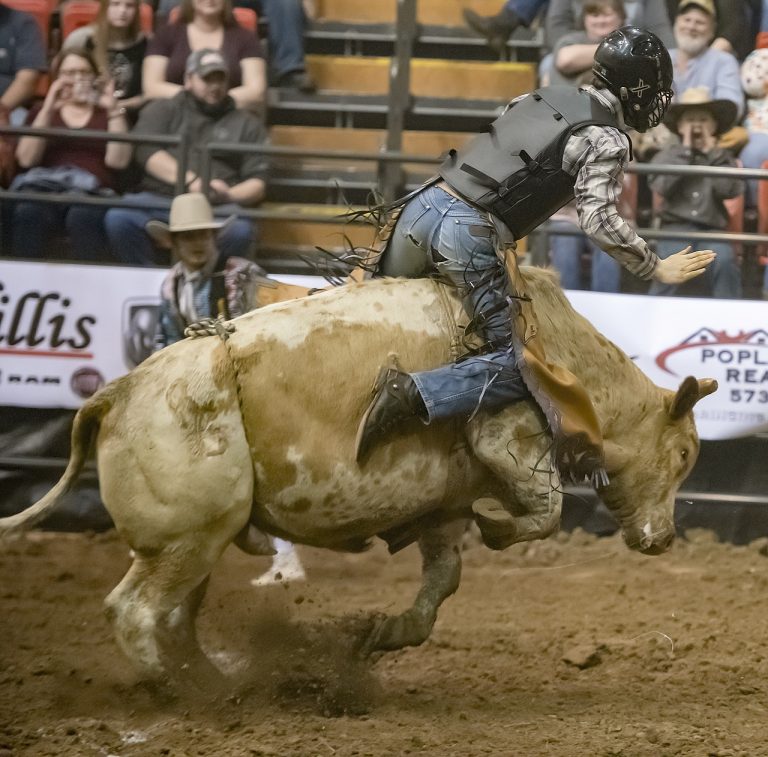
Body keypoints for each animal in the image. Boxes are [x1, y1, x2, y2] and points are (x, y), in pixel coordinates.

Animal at [0, 268, 715, 685]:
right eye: (683, 455)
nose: (664, 539)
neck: (560, 356)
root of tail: (118, 392)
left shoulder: (443, 502)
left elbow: (444, 578)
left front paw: (385, 634)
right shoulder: (505, 436)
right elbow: (544, 513)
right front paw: (498, 530)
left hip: (196, 542)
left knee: (175, 614)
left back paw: (211, 679)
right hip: (184, 539)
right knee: (136, 610)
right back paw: (179, 692)